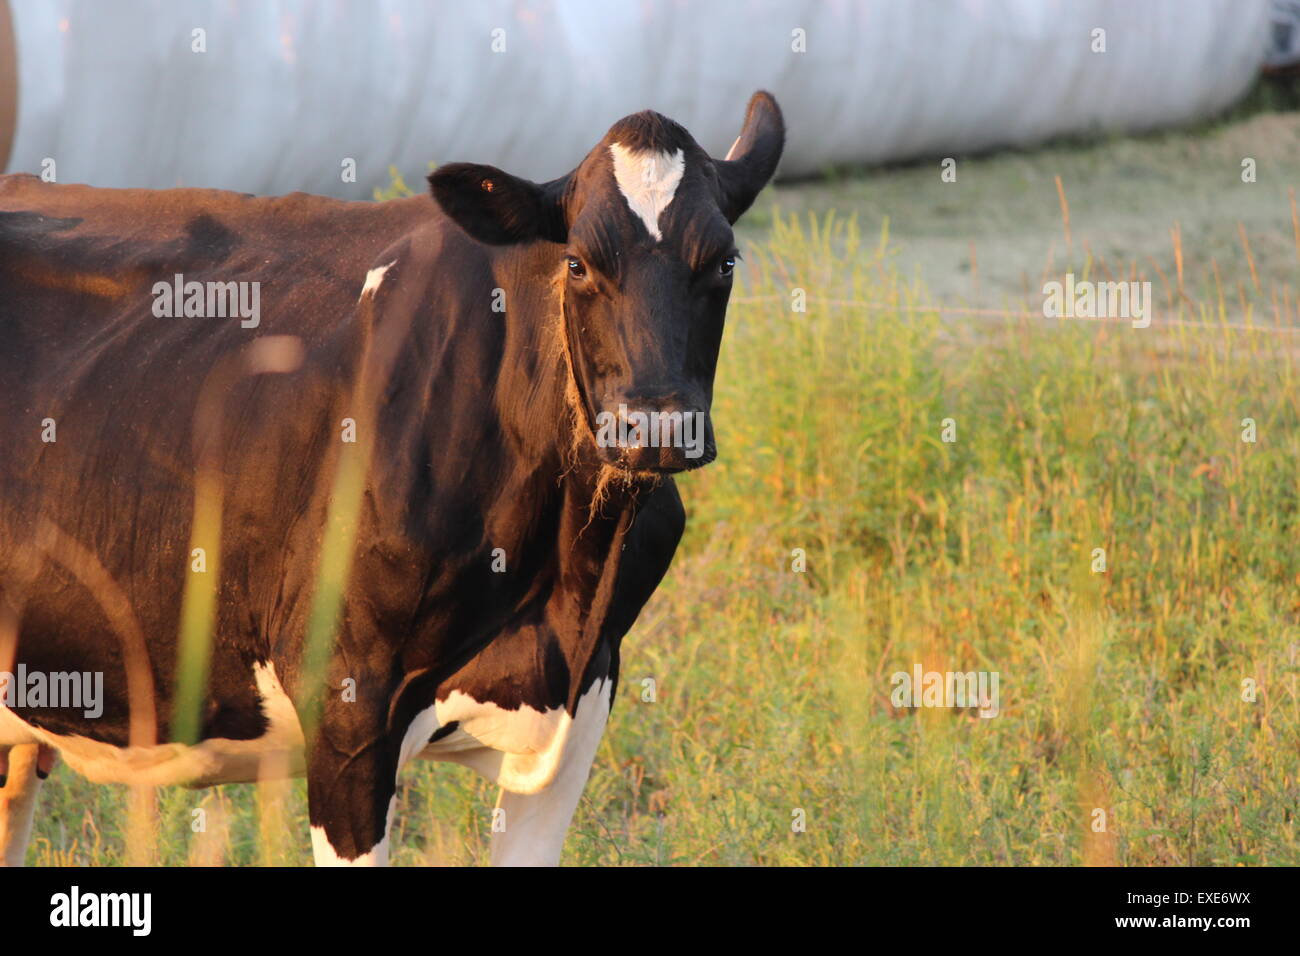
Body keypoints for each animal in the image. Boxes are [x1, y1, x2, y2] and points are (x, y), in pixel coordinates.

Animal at [0, 91, 784, 866]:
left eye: (725, 263)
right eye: (580, 265)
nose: (658, 426)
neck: (569, 581)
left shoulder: (583, 700)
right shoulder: (346, 709)